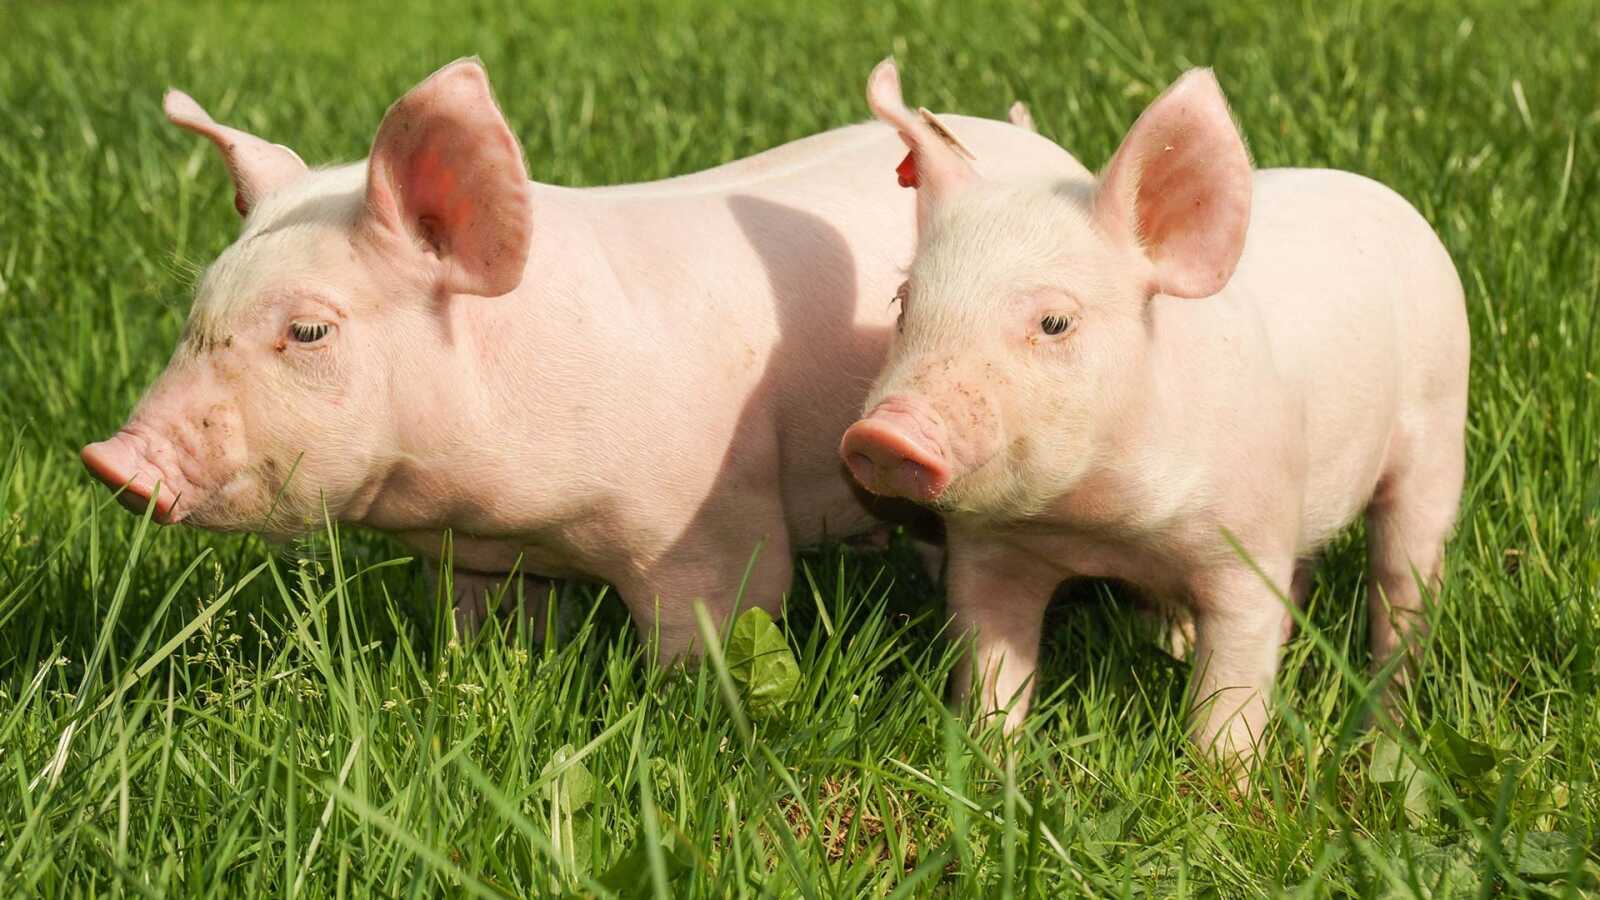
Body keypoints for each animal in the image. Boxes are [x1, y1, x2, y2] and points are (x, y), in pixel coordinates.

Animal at [80, 58, 1087, 654]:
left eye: (309, 331)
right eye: (198, 313)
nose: (112, 458)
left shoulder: (712, 523)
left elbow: (723, 626)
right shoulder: (478, 554)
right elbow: (478, 630)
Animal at [840, 61, 1469, 766]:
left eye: (1054, 323)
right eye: (903, 303)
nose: (885, 431)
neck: (1101, 527)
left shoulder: (1247, 544)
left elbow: (1232, 688)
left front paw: (1222, 781)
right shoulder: (989, 550)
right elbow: (991, 666)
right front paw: (983, 760)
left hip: (1439, 433)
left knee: (1403, 584)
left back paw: (1386, 727)